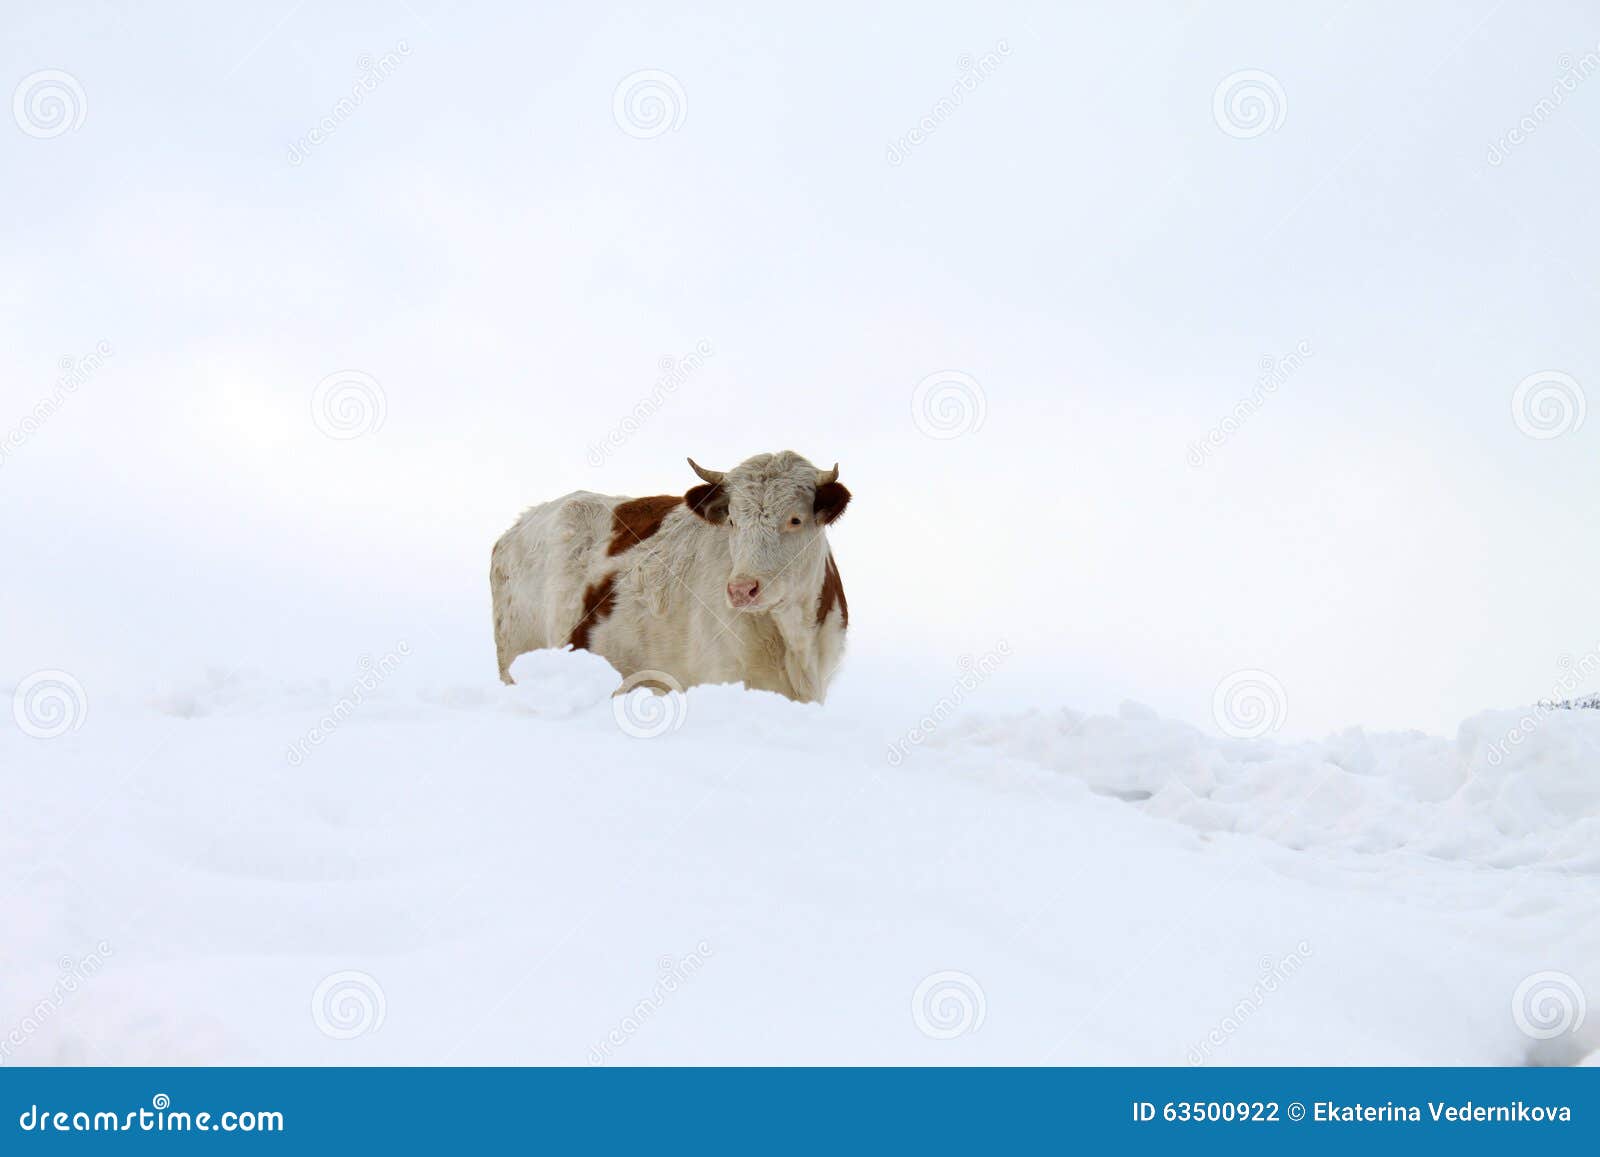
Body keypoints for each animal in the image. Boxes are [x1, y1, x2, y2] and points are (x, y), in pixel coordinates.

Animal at [491, 451, 851, 703]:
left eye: (795, 519)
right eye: (732, 521)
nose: (741, 589)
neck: (796, 641)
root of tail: (518, 526)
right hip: (514, 654)